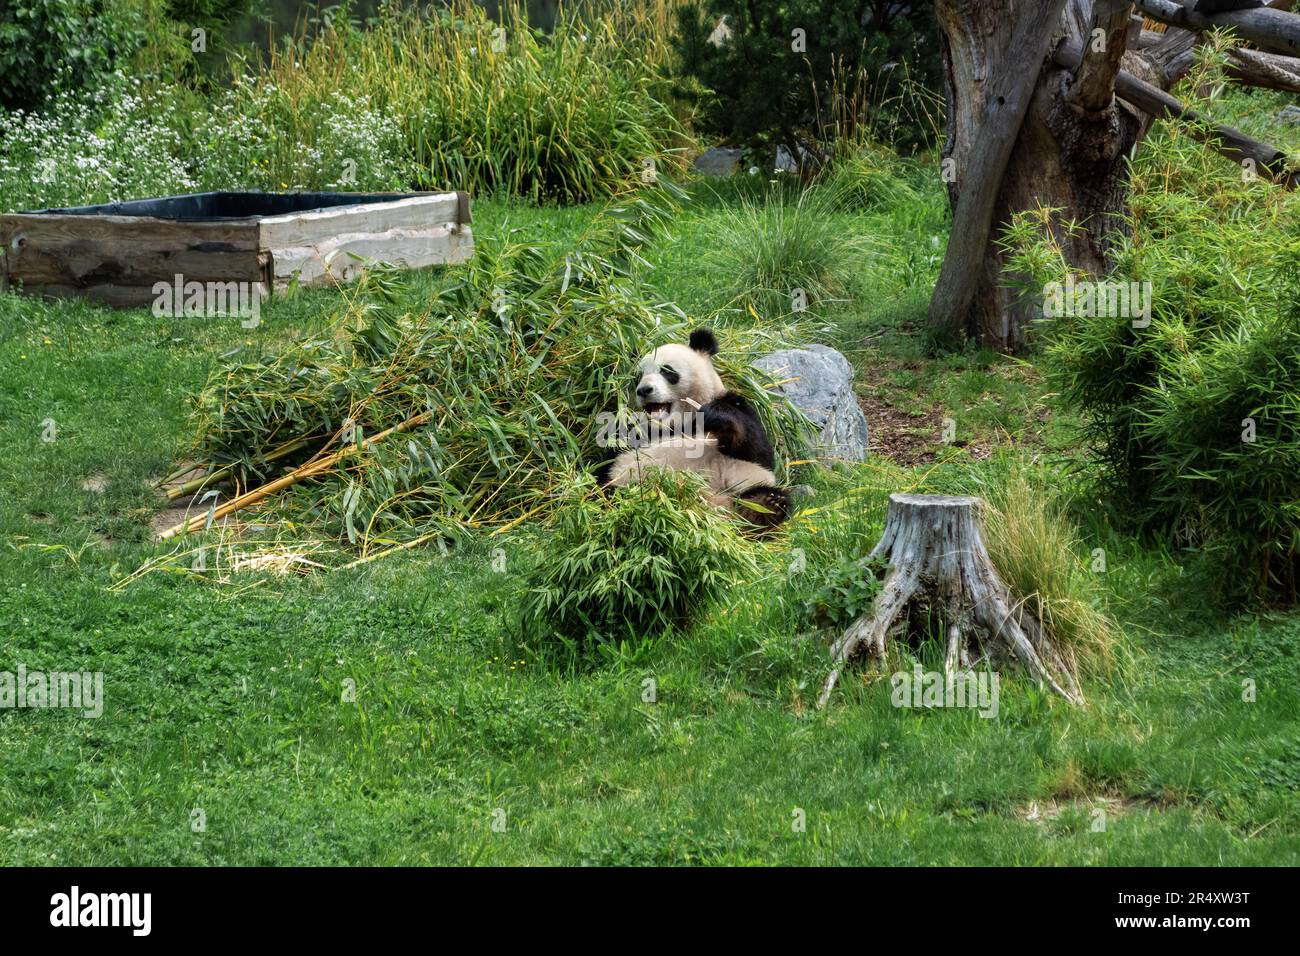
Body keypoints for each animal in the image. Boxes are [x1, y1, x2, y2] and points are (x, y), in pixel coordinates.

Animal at [595, 328, 792, 529]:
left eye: (667, 371)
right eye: (637, 377)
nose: (644, 390)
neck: (676, 423)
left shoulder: (738, 406)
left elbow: (758, 451)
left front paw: (716, 417)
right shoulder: (631, 432)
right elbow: (604, 461)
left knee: (767, 495)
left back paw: (762, 508)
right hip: (627, 481)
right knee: (607, 491)